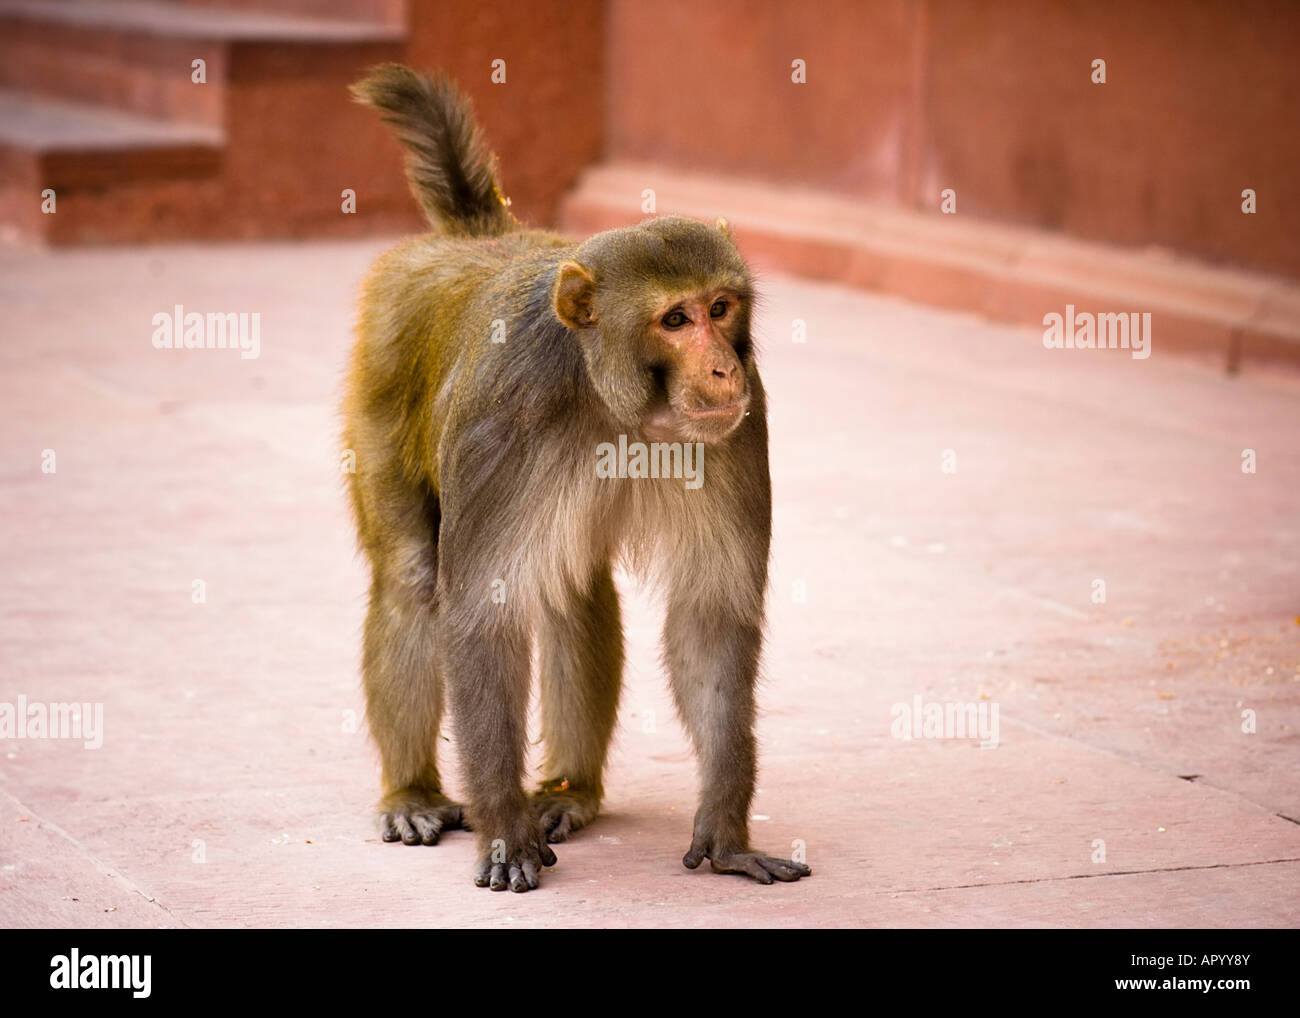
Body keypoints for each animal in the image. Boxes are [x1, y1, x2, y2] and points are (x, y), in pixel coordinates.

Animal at [342, 64, 811, 892]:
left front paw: (726, 830)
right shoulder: (502, 419)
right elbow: (481, 614)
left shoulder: (739, 429)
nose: (723, 368)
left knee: (573, 587)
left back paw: (571, 789)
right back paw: (413, 791)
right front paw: (504, 828)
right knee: (412, 573)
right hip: (383, 375)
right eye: (676, 320)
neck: (605, 399)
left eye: (722, 307)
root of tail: (474, 240)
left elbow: (709, 616)